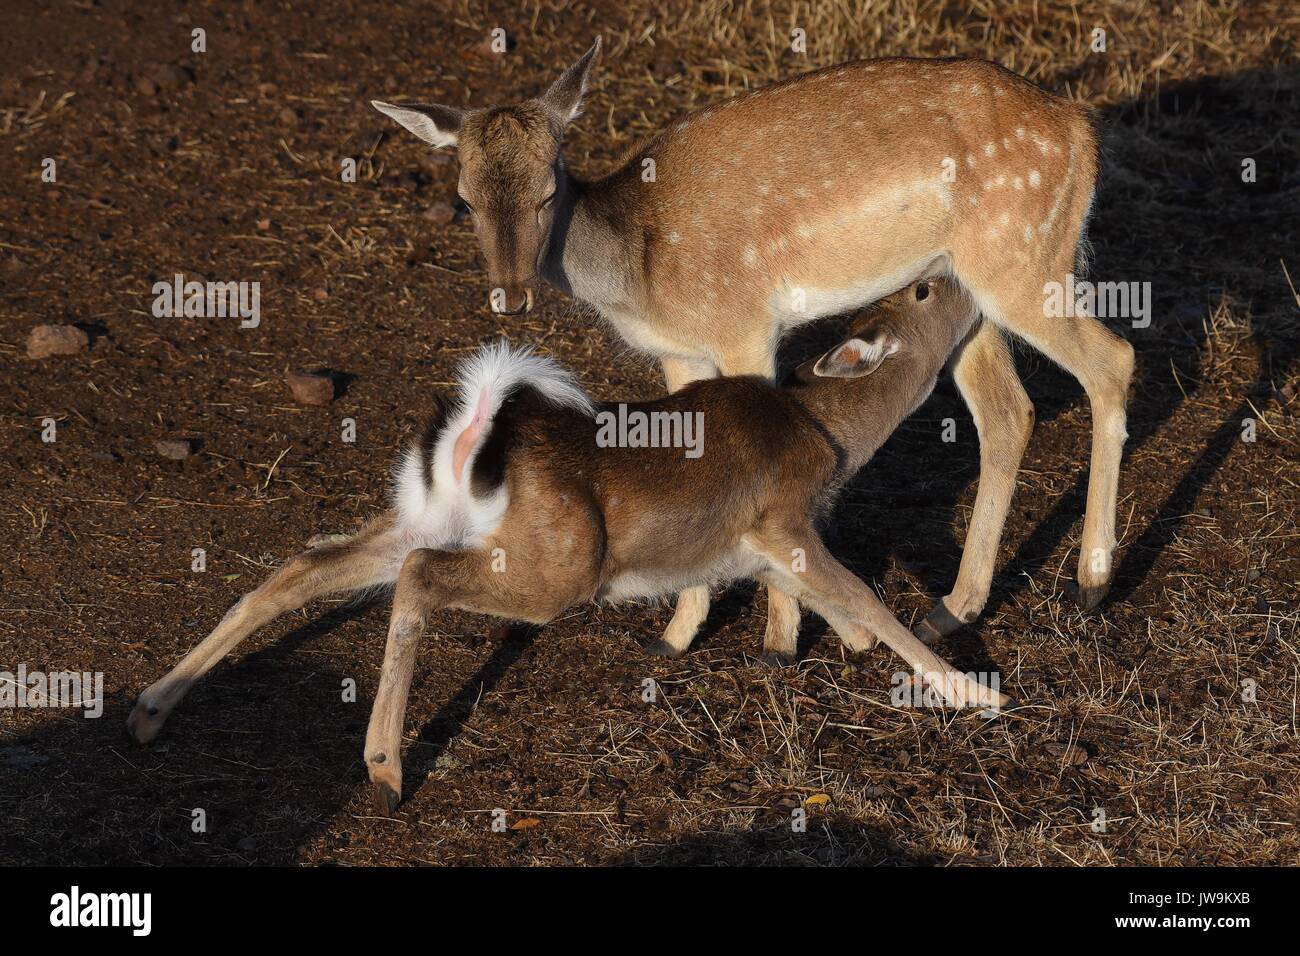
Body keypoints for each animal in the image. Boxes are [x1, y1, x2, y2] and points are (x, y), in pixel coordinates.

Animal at [128, 278, 1011, 814]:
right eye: (924, 289)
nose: (968, 282)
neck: (830, 436)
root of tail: (470, 434)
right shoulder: (780, 519)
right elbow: (867, 595)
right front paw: (974, 692)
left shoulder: (766, 545)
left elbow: (834, 603)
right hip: (555, 564)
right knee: (417, 577)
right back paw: (384, 769)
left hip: (419, 514)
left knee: (303, 565)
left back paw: (150, 708)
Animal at [370, 39, 1135, 662]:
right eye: (465, 196)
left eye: (547, 188)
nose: (510, 298)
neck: (638, 269)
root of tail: (1083, 132)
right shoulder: (678, 351)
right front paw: (675, 636)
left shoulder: (743, 324)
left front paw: (778, 644)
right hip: (971, 291)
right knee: (1009, 410)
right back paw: (952, 609)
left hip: (1023, 260)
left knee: (1114, 360)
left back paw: (1093, 582)